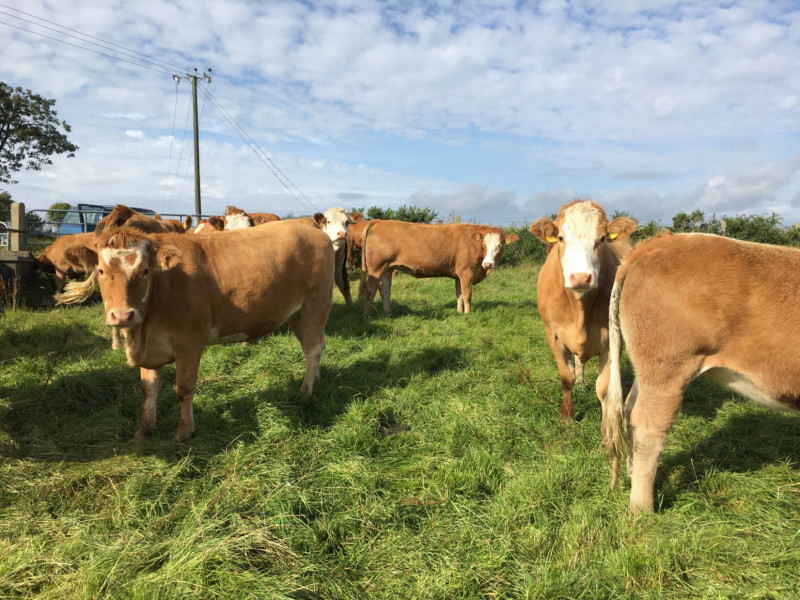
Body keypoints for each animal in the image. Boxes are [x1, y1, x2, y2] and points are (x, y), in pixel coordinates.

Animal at [55, 218, 334, 443]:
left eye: (144, 271)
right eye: (101, 271)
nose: (123, 315)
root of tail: (306, 223)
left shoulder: (189, 344)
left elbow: (184, 389)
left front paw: (185, 431)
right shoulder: (150, 350)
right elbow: (149, 390)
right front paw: (144, 430)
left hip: (315, 304)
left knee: (314, 348)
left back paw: (306, 390)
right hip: (296, 314)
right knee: (312, 348)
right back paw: (316, 378)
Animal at [359, 220, 518, 316]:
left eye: (500, 245)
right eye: (484, 245)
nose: (488, 264)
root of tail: (380, 221)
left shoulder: (458, 275)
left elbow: (459, 294)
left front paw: (459, 312)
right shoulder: (466, 272)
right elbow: (467, 295)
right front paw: (468, 313)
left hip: (387, 269)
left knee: (385, 291)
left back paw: (388, 313)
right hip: (375, 269)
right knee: (370, 289)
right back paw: (367, 315)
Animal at [529, 200, 637, 422]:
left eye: (602, 238)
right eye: (561, 238)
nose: (580, 277)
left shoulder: (612, 340)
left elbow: (604, 388)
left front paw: (606, 428)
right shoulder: (553, 335)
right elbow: (566, 377)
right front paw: (567, 417)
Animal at [606, 232, 800, 513]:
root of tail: (662, 241)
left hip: (648, 370)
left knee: (630, 410)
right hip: (670, 370)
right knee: (647, 428)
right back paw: (642, 509)